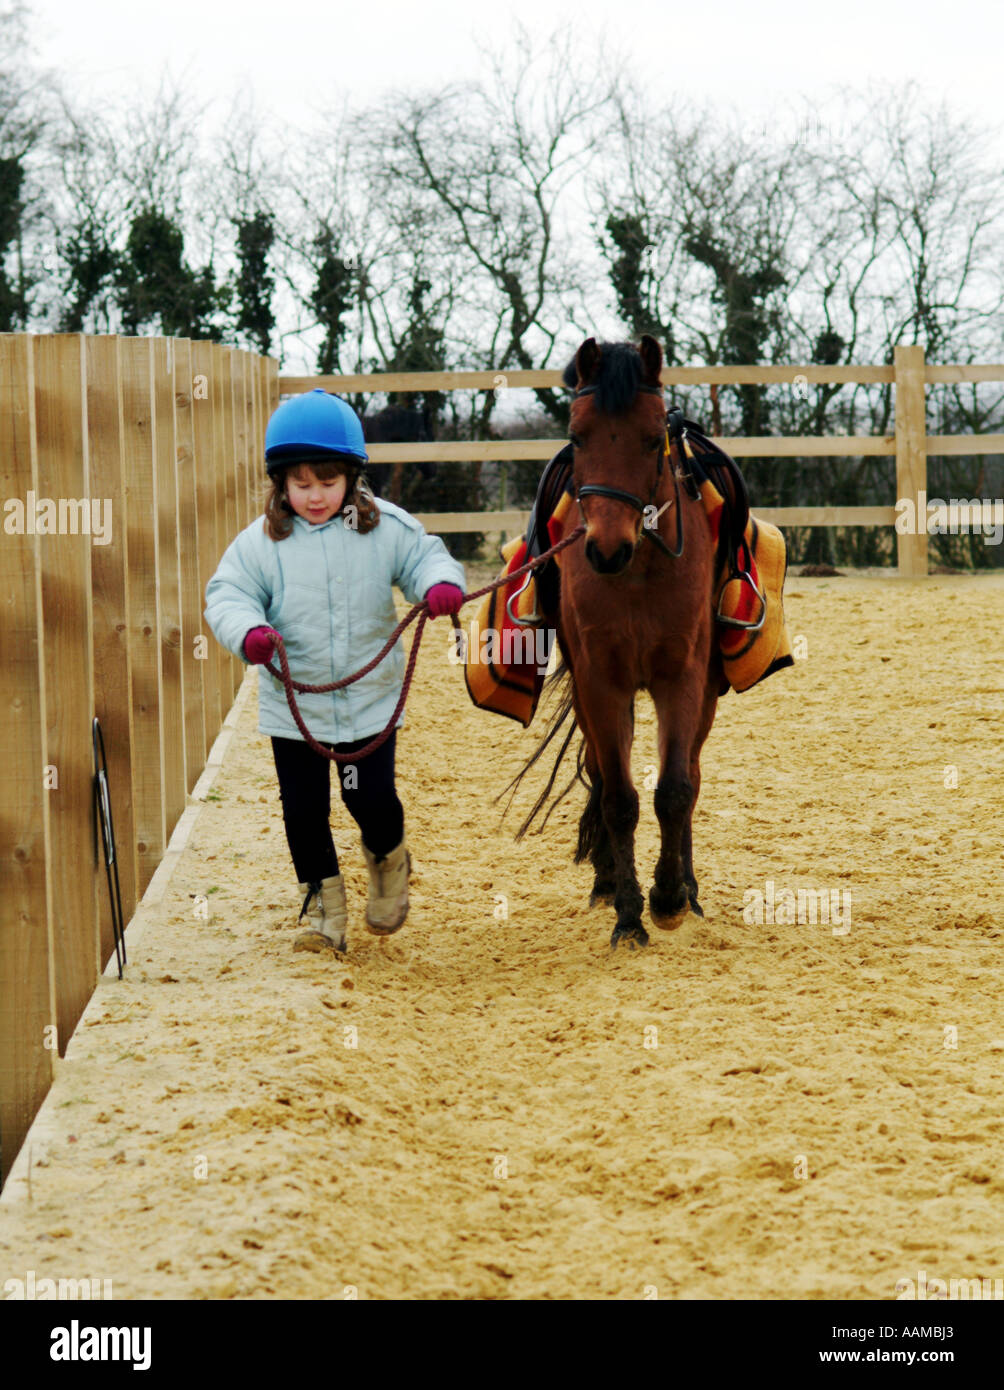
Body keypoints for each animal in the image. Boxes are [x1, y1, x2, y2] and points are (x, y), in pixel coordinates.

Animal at [521, 335, 724, 950]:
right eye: (577, 435)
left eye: (653, 435)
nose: (606, 549)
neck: (637, 572)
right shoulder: (601, 683)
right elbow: (617, 797)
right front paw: (630, 913)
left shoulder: (681, 678)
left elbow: (676, 789)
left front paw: (669, 898)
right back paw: (611, 881)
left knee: (691, 778)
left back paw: (688, 887)